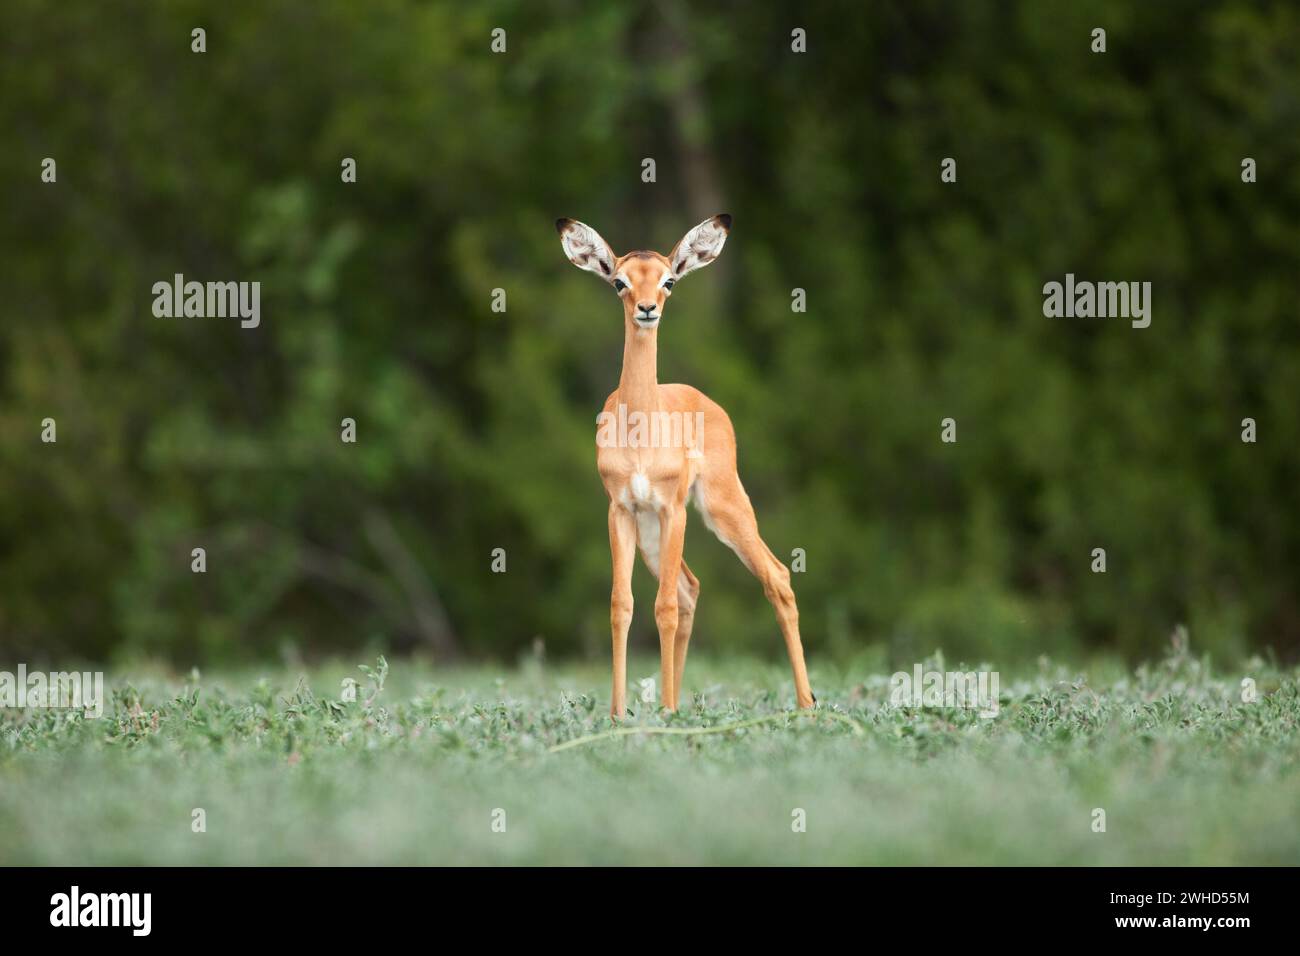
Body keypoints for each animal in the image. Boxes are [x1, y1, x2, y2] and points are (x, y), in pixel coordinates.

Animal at [556, 214, 815, 717]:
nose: (647, 308)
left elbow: (662, 609)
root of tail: (708, 402)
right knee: (688, 589)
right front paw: (618, 714)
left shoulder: (673, 509)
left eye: (668, 280)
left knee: (775, 577)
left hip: (721, 509)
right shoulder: (621, 511)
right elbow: (622, 605)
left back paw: (806, 705)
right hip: (653, 534)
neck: (640, 430)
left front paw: (665, 712)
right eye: (619, 281)